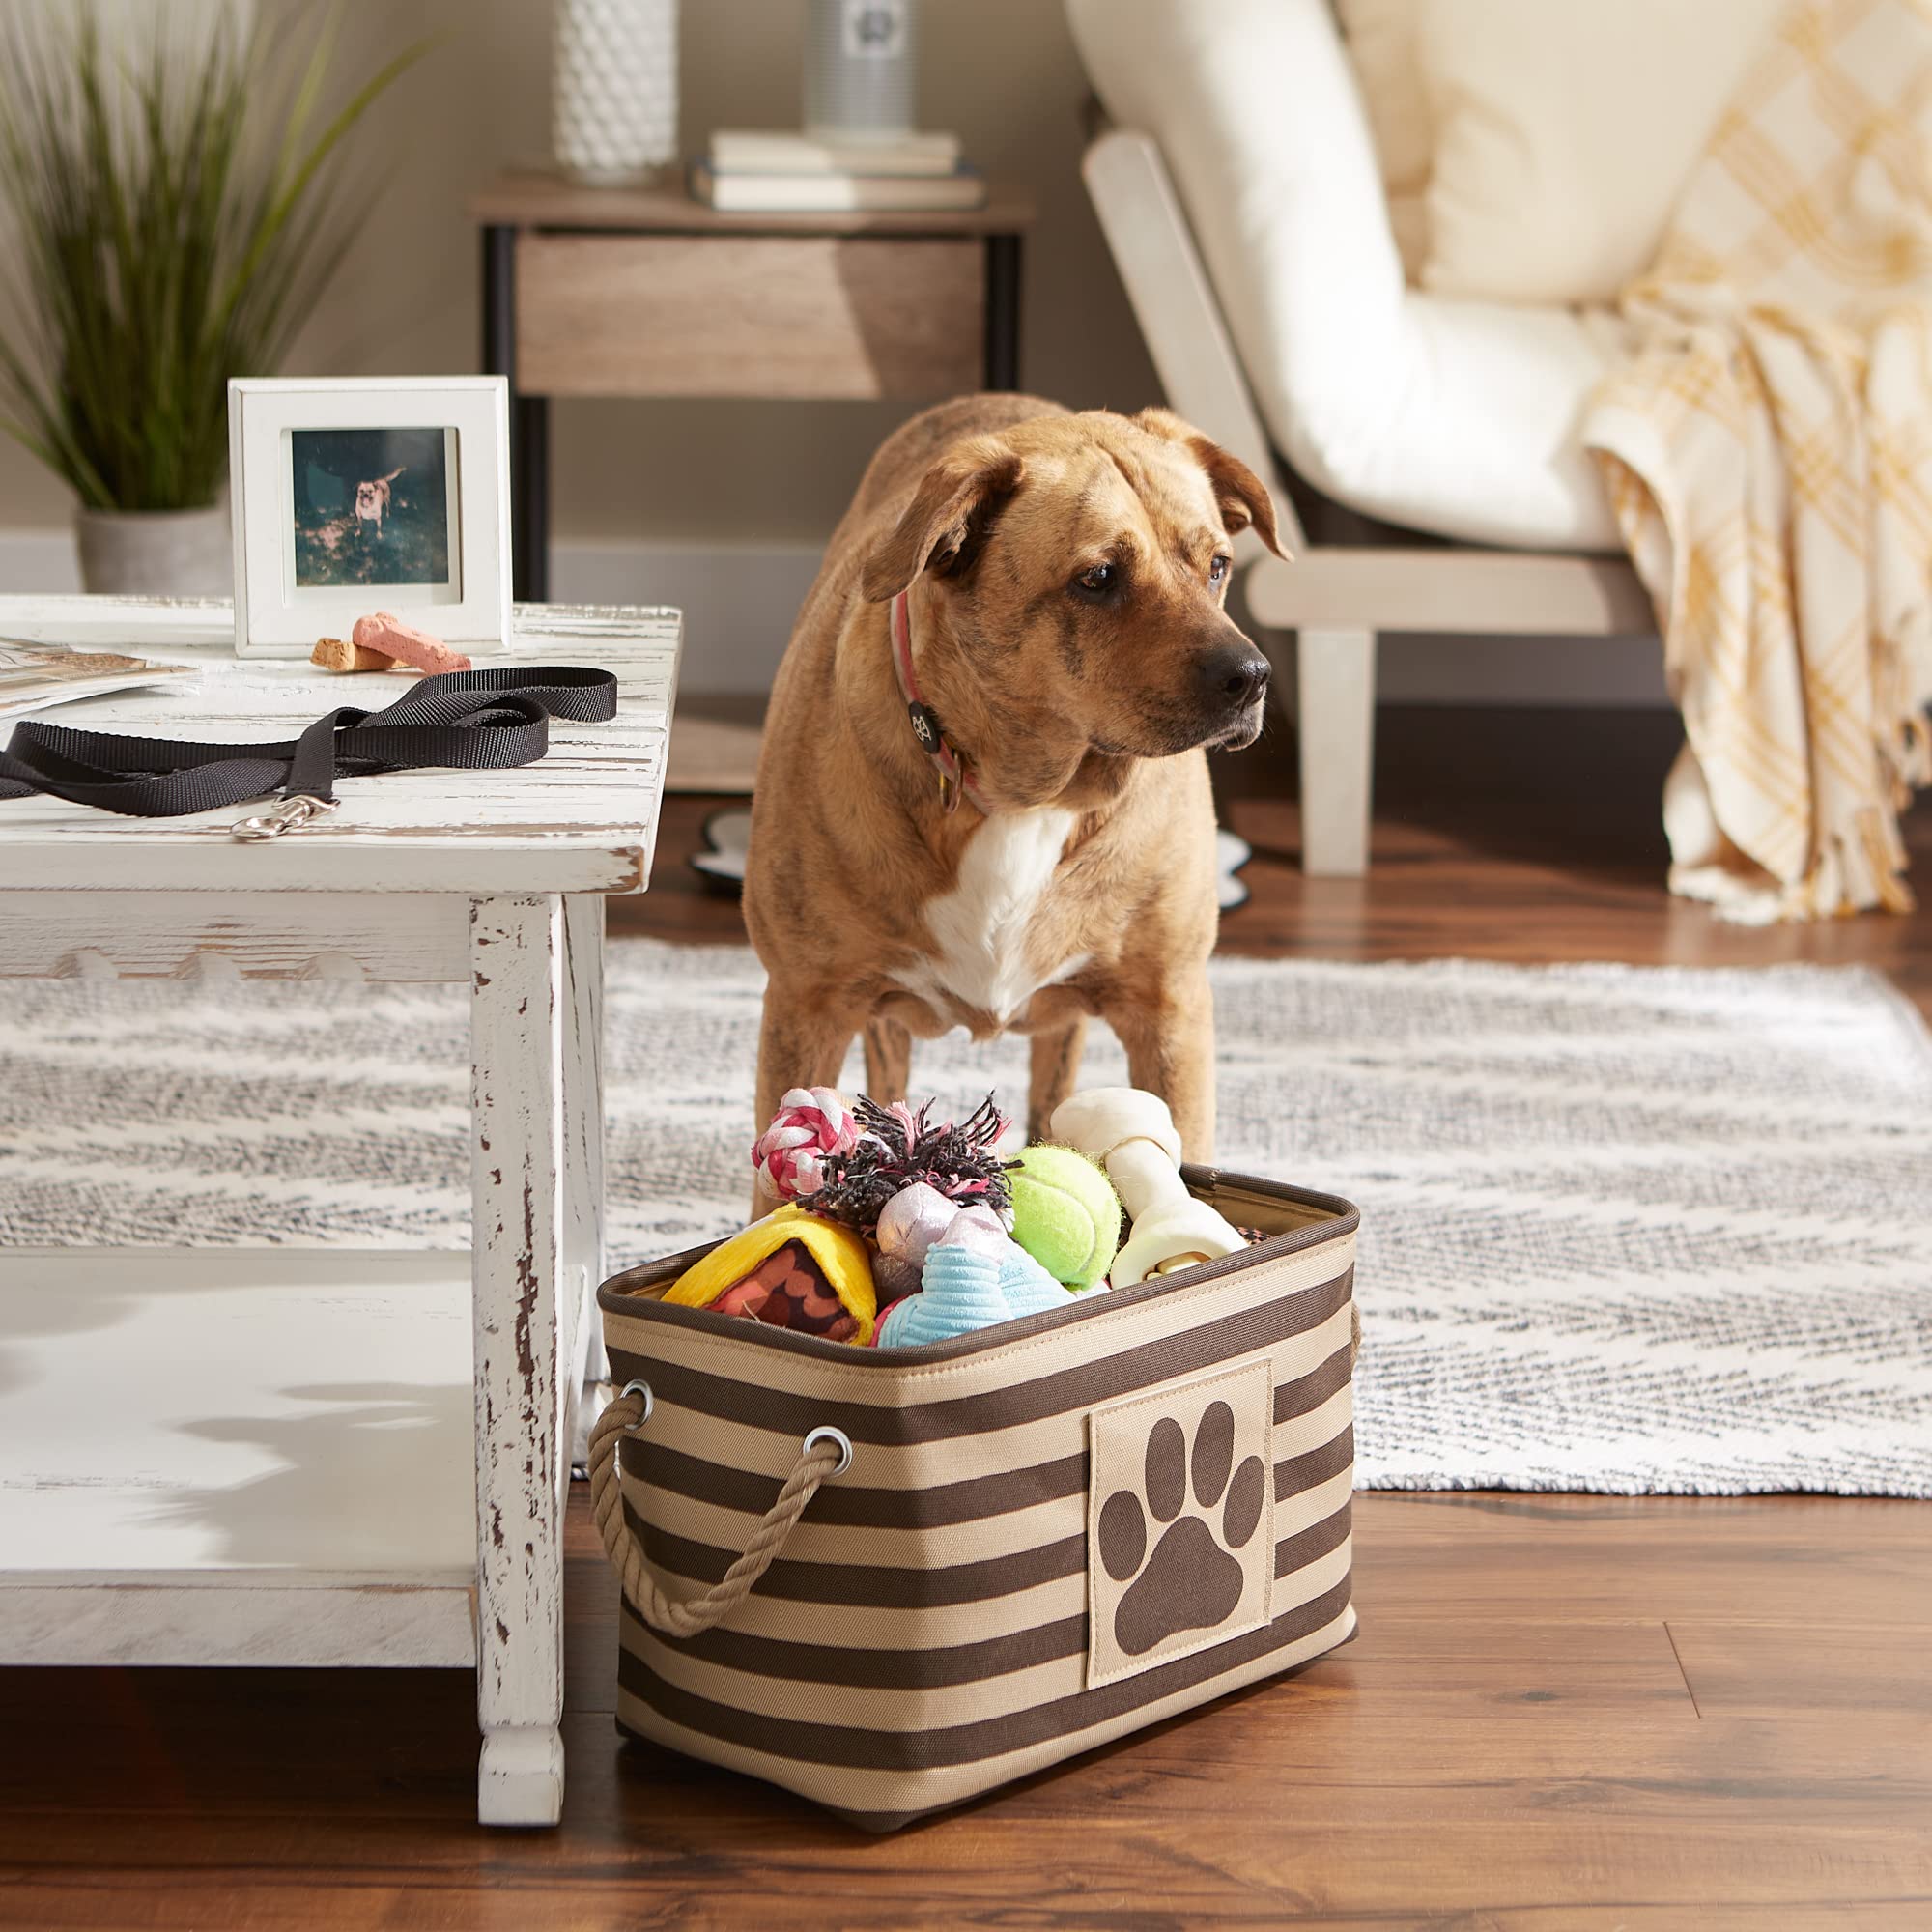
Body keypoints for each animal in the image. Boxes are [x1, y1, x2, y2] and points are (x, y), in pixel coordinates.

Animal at [746, 384, 1291, 1151]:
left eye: (1217, 565)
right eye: (1098, 578)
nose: (1252, 677)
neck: (1030, 794)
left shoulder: (1171, 1010)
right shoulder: (807, 1003)